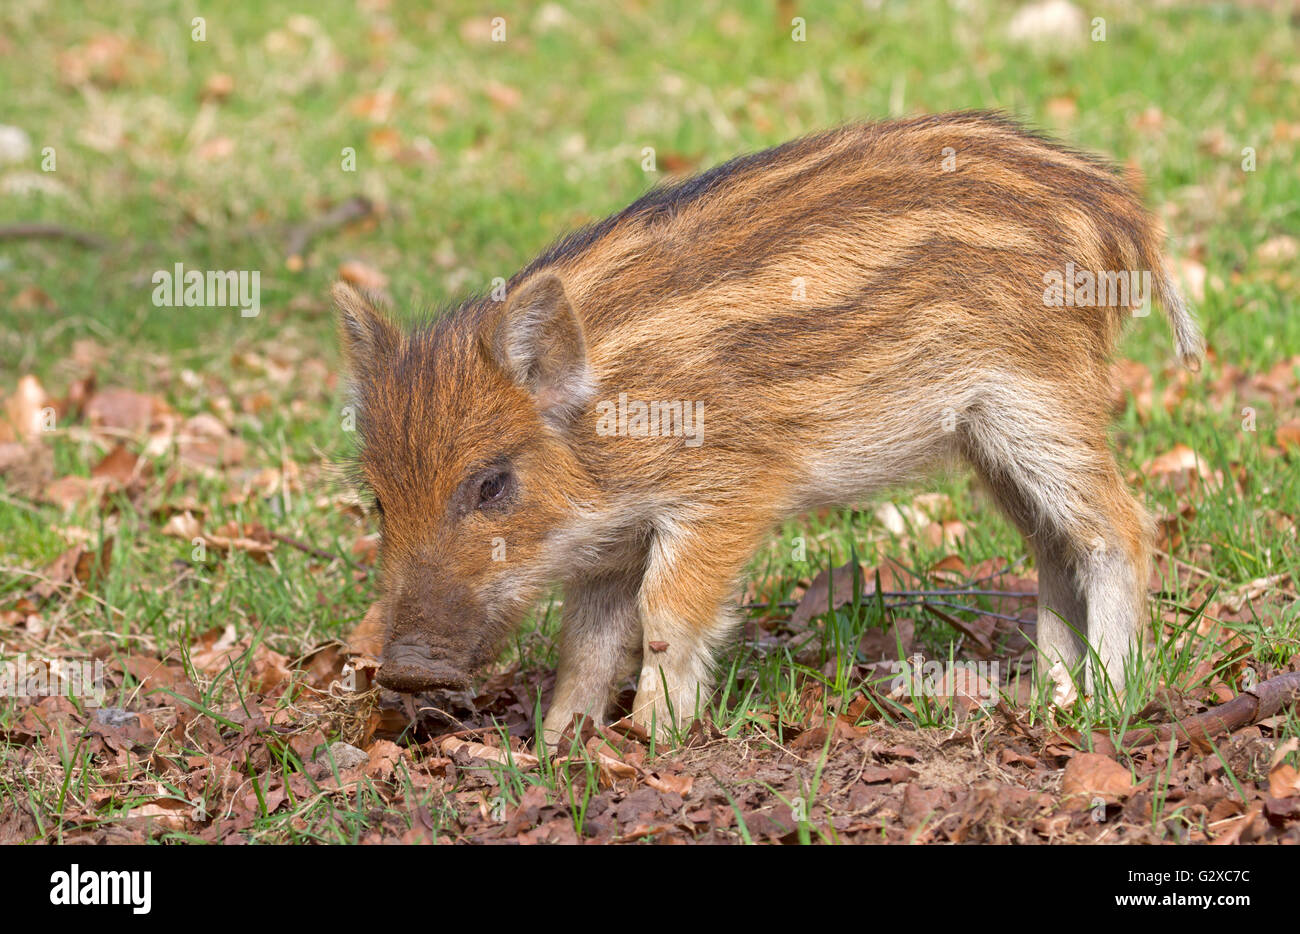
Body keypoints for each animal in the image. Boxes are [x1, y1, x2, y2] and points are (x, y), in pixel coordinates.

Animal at [334, 111, 1202, 745]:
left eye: (491, 484)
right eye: (378, 502)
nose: (404, 672)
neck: (602, 422)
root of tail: (1122, 214)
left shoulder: (726, 489)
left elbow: (666, 616)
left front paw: (652, 739)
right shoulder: (610, 540)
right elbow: (587, 646)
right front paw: (555, 749)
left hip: (1040, 402)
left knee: (1121, 528)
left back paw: (1110, 707)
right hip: (989, 437)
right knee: (1054, 545)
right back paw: (1050, 700)